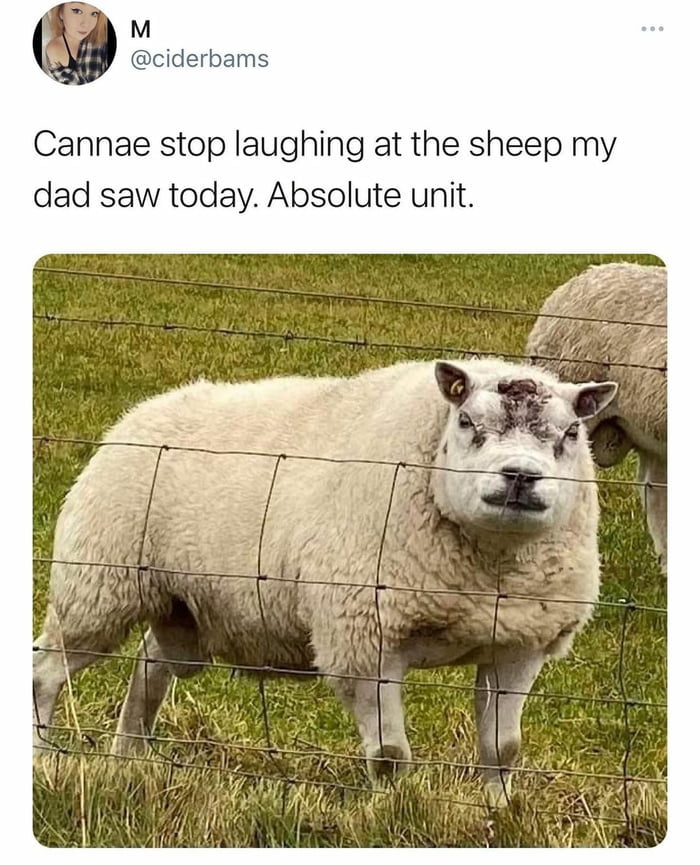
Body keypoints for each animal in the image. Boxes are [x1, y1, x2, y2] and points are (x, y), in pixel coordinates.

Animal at [33, 358, 617, 807]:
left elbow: (504, 749)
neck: (489, 568)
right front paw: (392, 811)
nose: (520, 476)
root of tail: (144, 411)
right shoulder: (363, 640)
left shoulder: (520, 645)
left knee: (150, 664)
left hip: (181, 606)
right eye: (469, 422)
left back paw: (129, 755)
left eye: (571, 434)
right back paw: (42, 756)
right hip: (96, 586)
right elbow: (389, 756)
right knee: (46, 670)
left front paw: (499, 811)